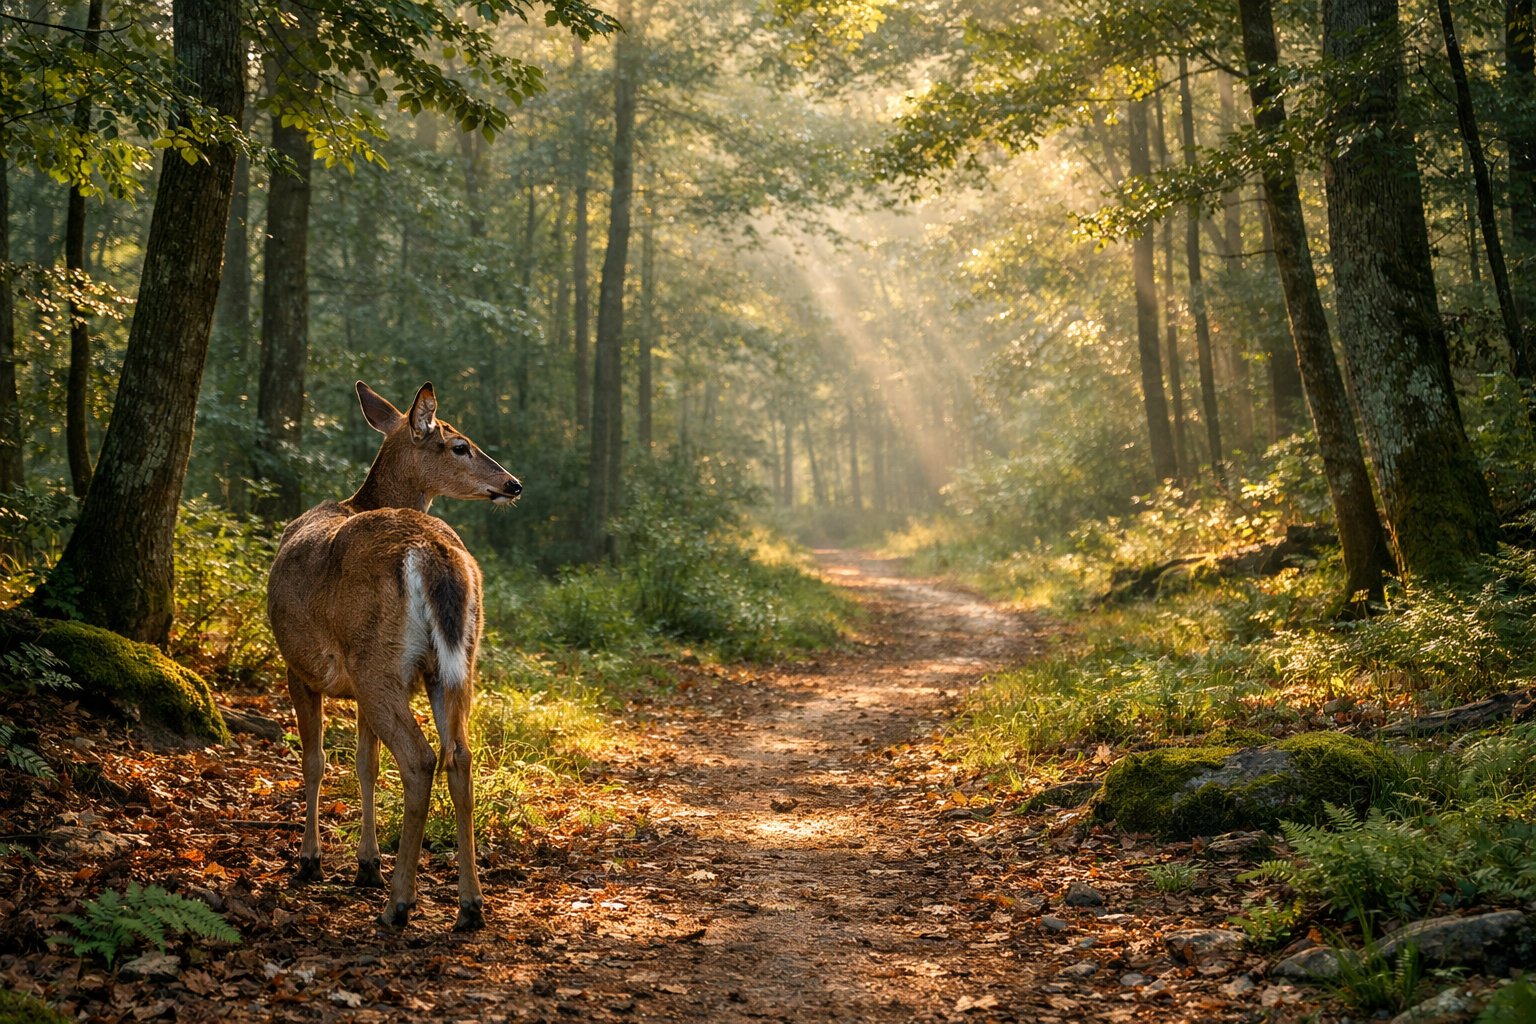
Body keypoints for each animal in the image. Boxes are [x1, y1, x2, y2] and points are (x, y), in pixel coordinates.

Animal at [266, 381, 521, 931]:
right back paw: (470, 905)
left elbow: (316, 760)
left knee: (421, 758)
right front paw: (366, 864)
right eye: (460, 445)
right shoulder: (356, 686)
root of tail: (431, 551)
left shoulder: (299, 667)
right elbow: (365, 763)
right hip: (453, 665)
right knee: (459, 755)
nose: (513, 484)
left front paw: (311, 860)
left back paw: (400, 904)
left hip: (378, 663)